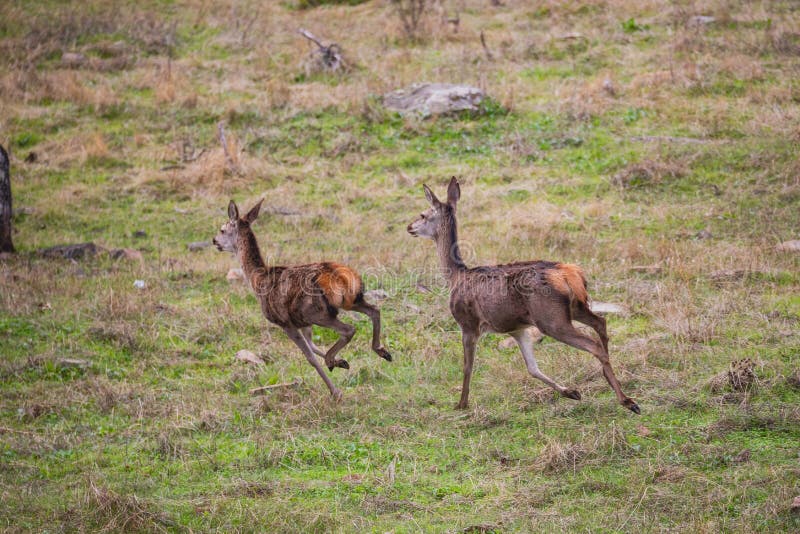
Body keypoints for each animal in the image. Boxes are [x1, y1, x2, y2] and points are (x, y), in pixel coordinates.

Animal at [213, 199, 392, 400]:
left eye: (222, 229)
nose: (214, 241)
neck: (257, 280)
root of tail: (339, 276)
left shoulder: (285, 322)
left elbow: (310, 357)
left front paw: (335, 389)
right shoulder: (303, 322)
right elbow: (313, 346)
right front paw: (342, 362)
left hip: (317, 312)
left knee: (349, 329)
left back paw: (332, 361)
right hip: (351, 300)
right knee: (375, 310)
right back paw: (382, 351)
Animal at [407, 177, 639, 414]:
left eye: (423, 214)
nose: (409, 227)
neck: (455, 276)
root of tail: (568, 273)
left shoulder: (468, 323)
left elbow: (467, 366)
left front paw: (461, 404)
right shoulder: (516, 328)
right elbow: (532, 368)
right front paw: (571, 392)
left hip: (551, 319)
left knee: (594, 343)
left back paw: (627, 401)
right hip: (575, 308)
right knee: (601, 322)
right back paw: (611, 379)